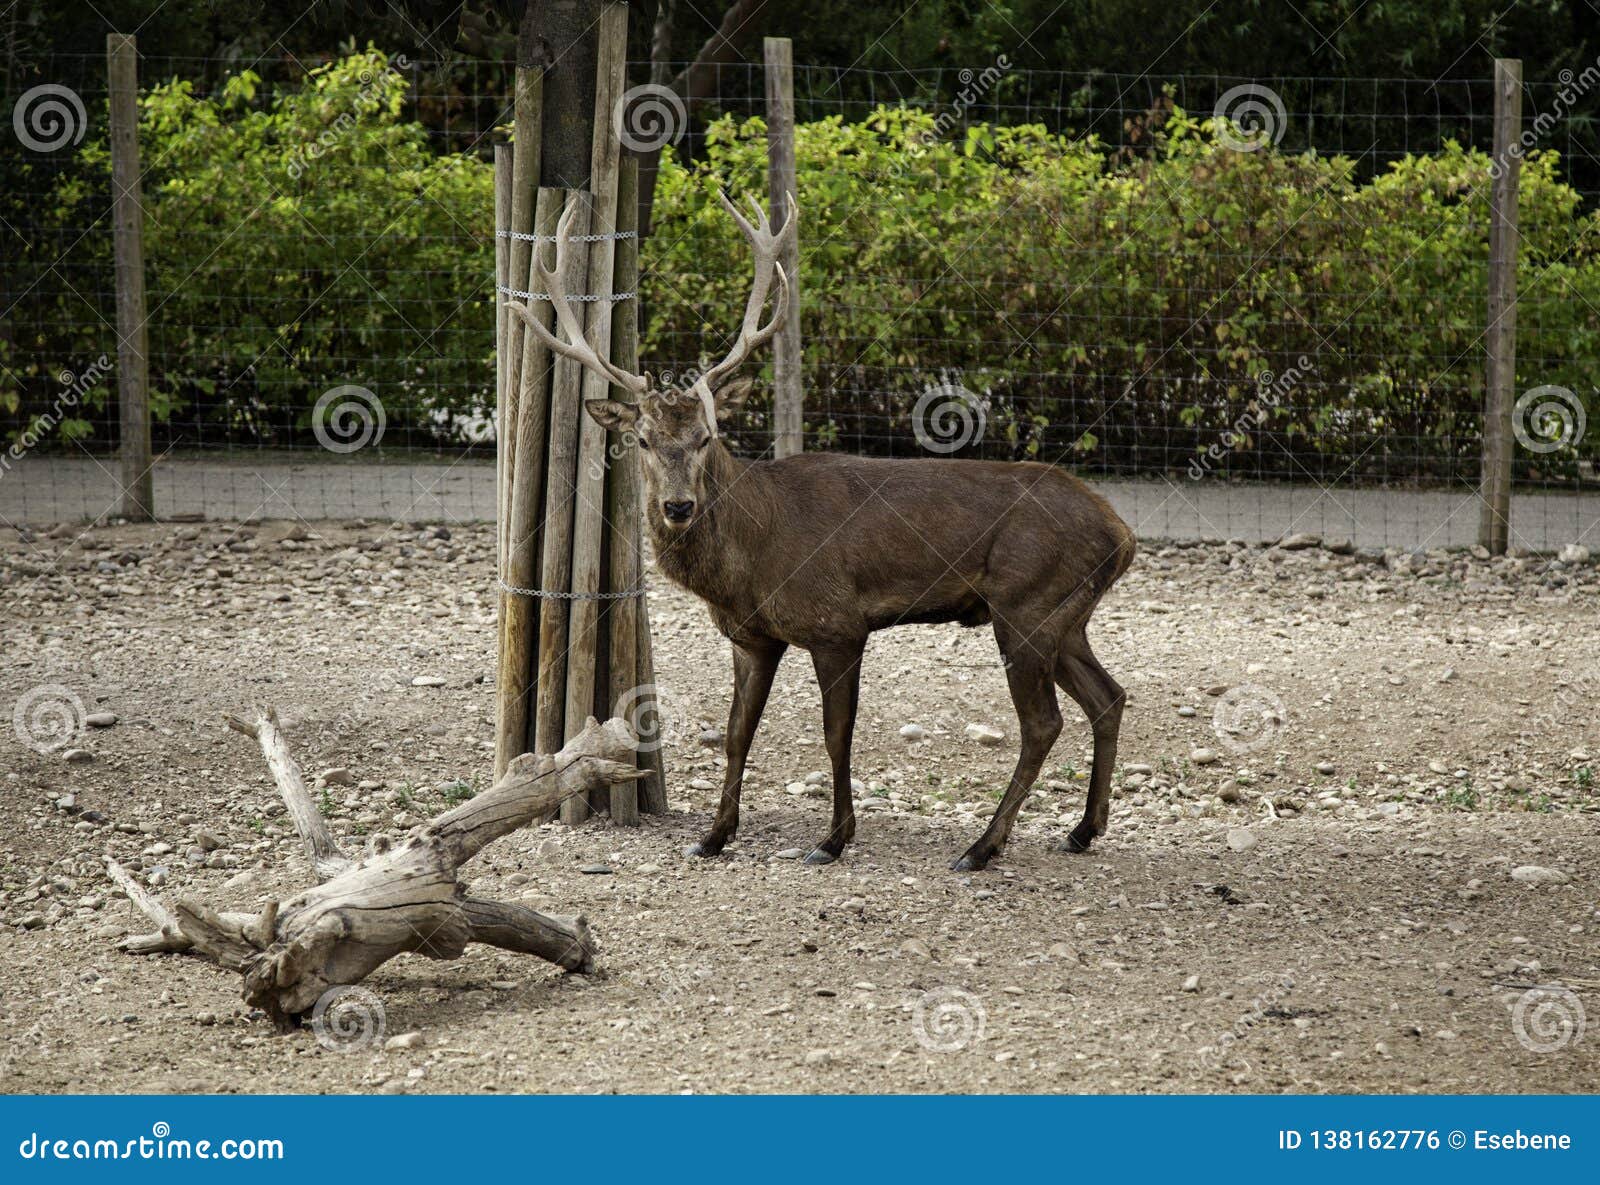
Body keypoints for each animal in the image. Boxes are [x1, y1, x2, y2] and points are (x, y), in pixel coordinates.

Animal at [506, 191, 1136, 871]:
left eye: (706, 437)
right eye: (643, 440)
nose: (677, 506)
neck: (749, 561)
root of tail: (1122, 533)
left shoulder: (837, 624)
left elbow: (836, 735)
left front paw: (833, 839)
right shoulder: (751, 637)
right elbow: (736, 733)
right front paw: (714, 835)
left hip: (1025, 602)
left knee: (1043, 722)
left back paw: (982, 846)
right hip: (1064, 614)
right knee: (1108, 695)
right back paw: (1081, 829)